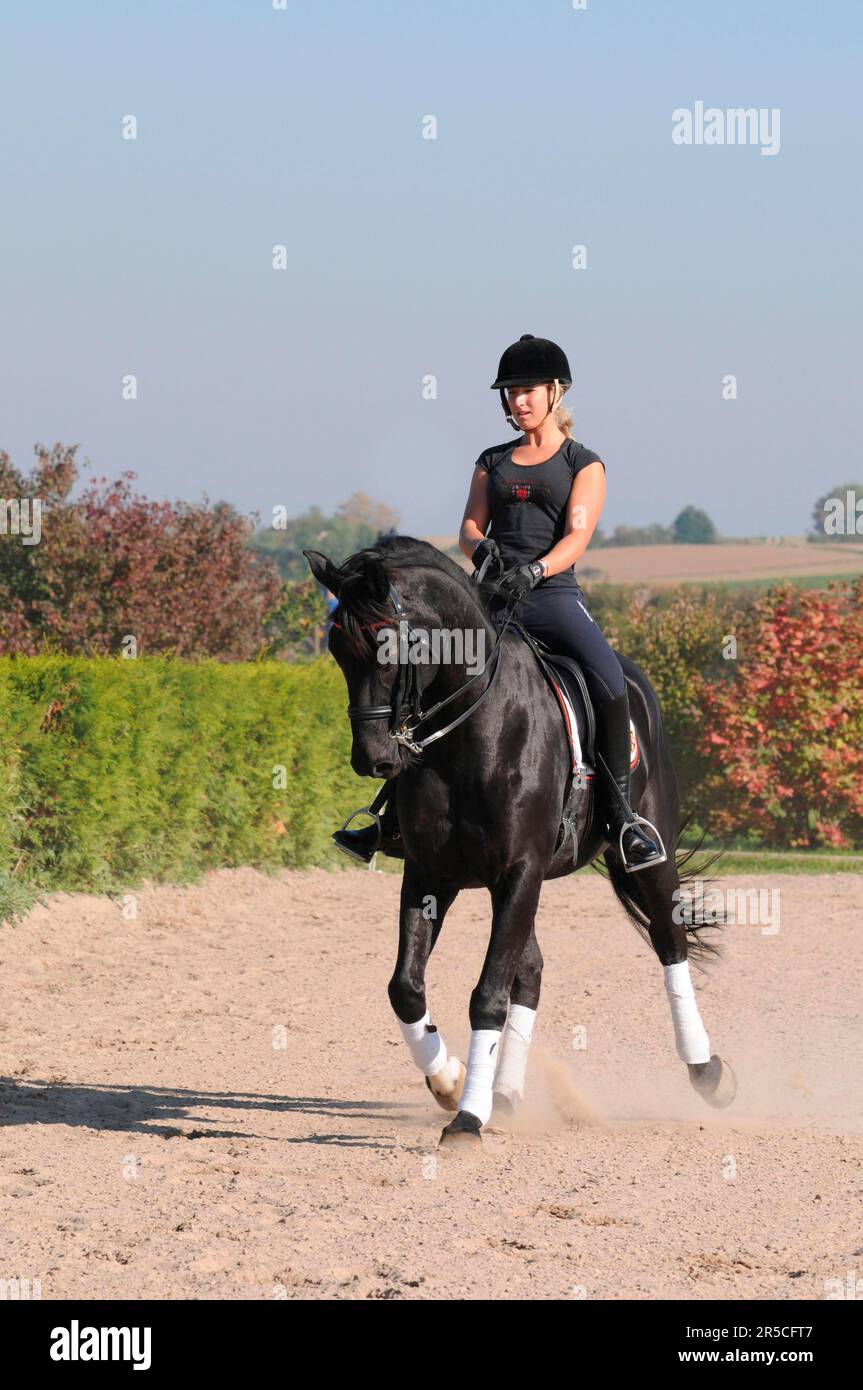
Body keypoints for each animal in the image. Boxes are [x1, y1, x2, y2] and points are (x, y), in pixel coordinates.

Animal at [304, 535, 736, 1149]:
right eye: (339, 647)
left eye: (391, 645)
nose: (373, 758)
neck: (472, 732)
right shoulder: (431, 874)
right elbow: (407, 988)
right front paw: (451, 1082)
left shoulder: (520, 870)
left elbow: (487, 995)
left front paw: (465, 1118)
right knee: (529, 973)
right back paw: (503, 1092)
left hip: (639, 858)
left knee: (668, 941)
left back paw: (707, 1072)